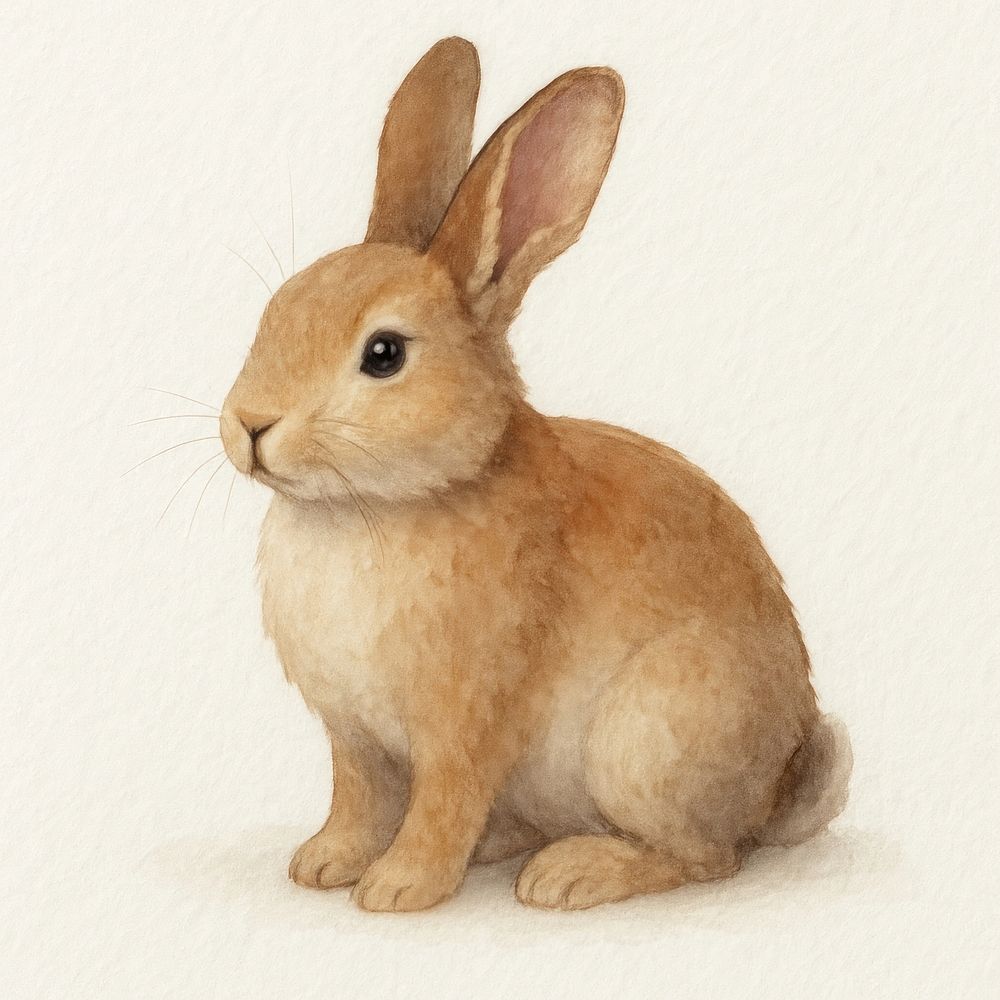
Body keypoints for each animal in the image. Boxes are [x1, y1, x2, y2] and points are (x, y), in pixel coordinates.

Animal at [219, 36, 852, 912]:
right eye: (275, 311)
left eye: (383, 354)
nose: (248, 425)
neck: (376, 504)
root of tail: (777, 790)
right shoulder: (353, 735)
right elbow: (356, 798)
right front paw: (322, 863)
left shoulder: (465, 720)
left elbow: (441, 802)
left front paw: (398, 889)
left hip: (647, 738)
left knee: (707, 858)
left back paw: (571, 874)